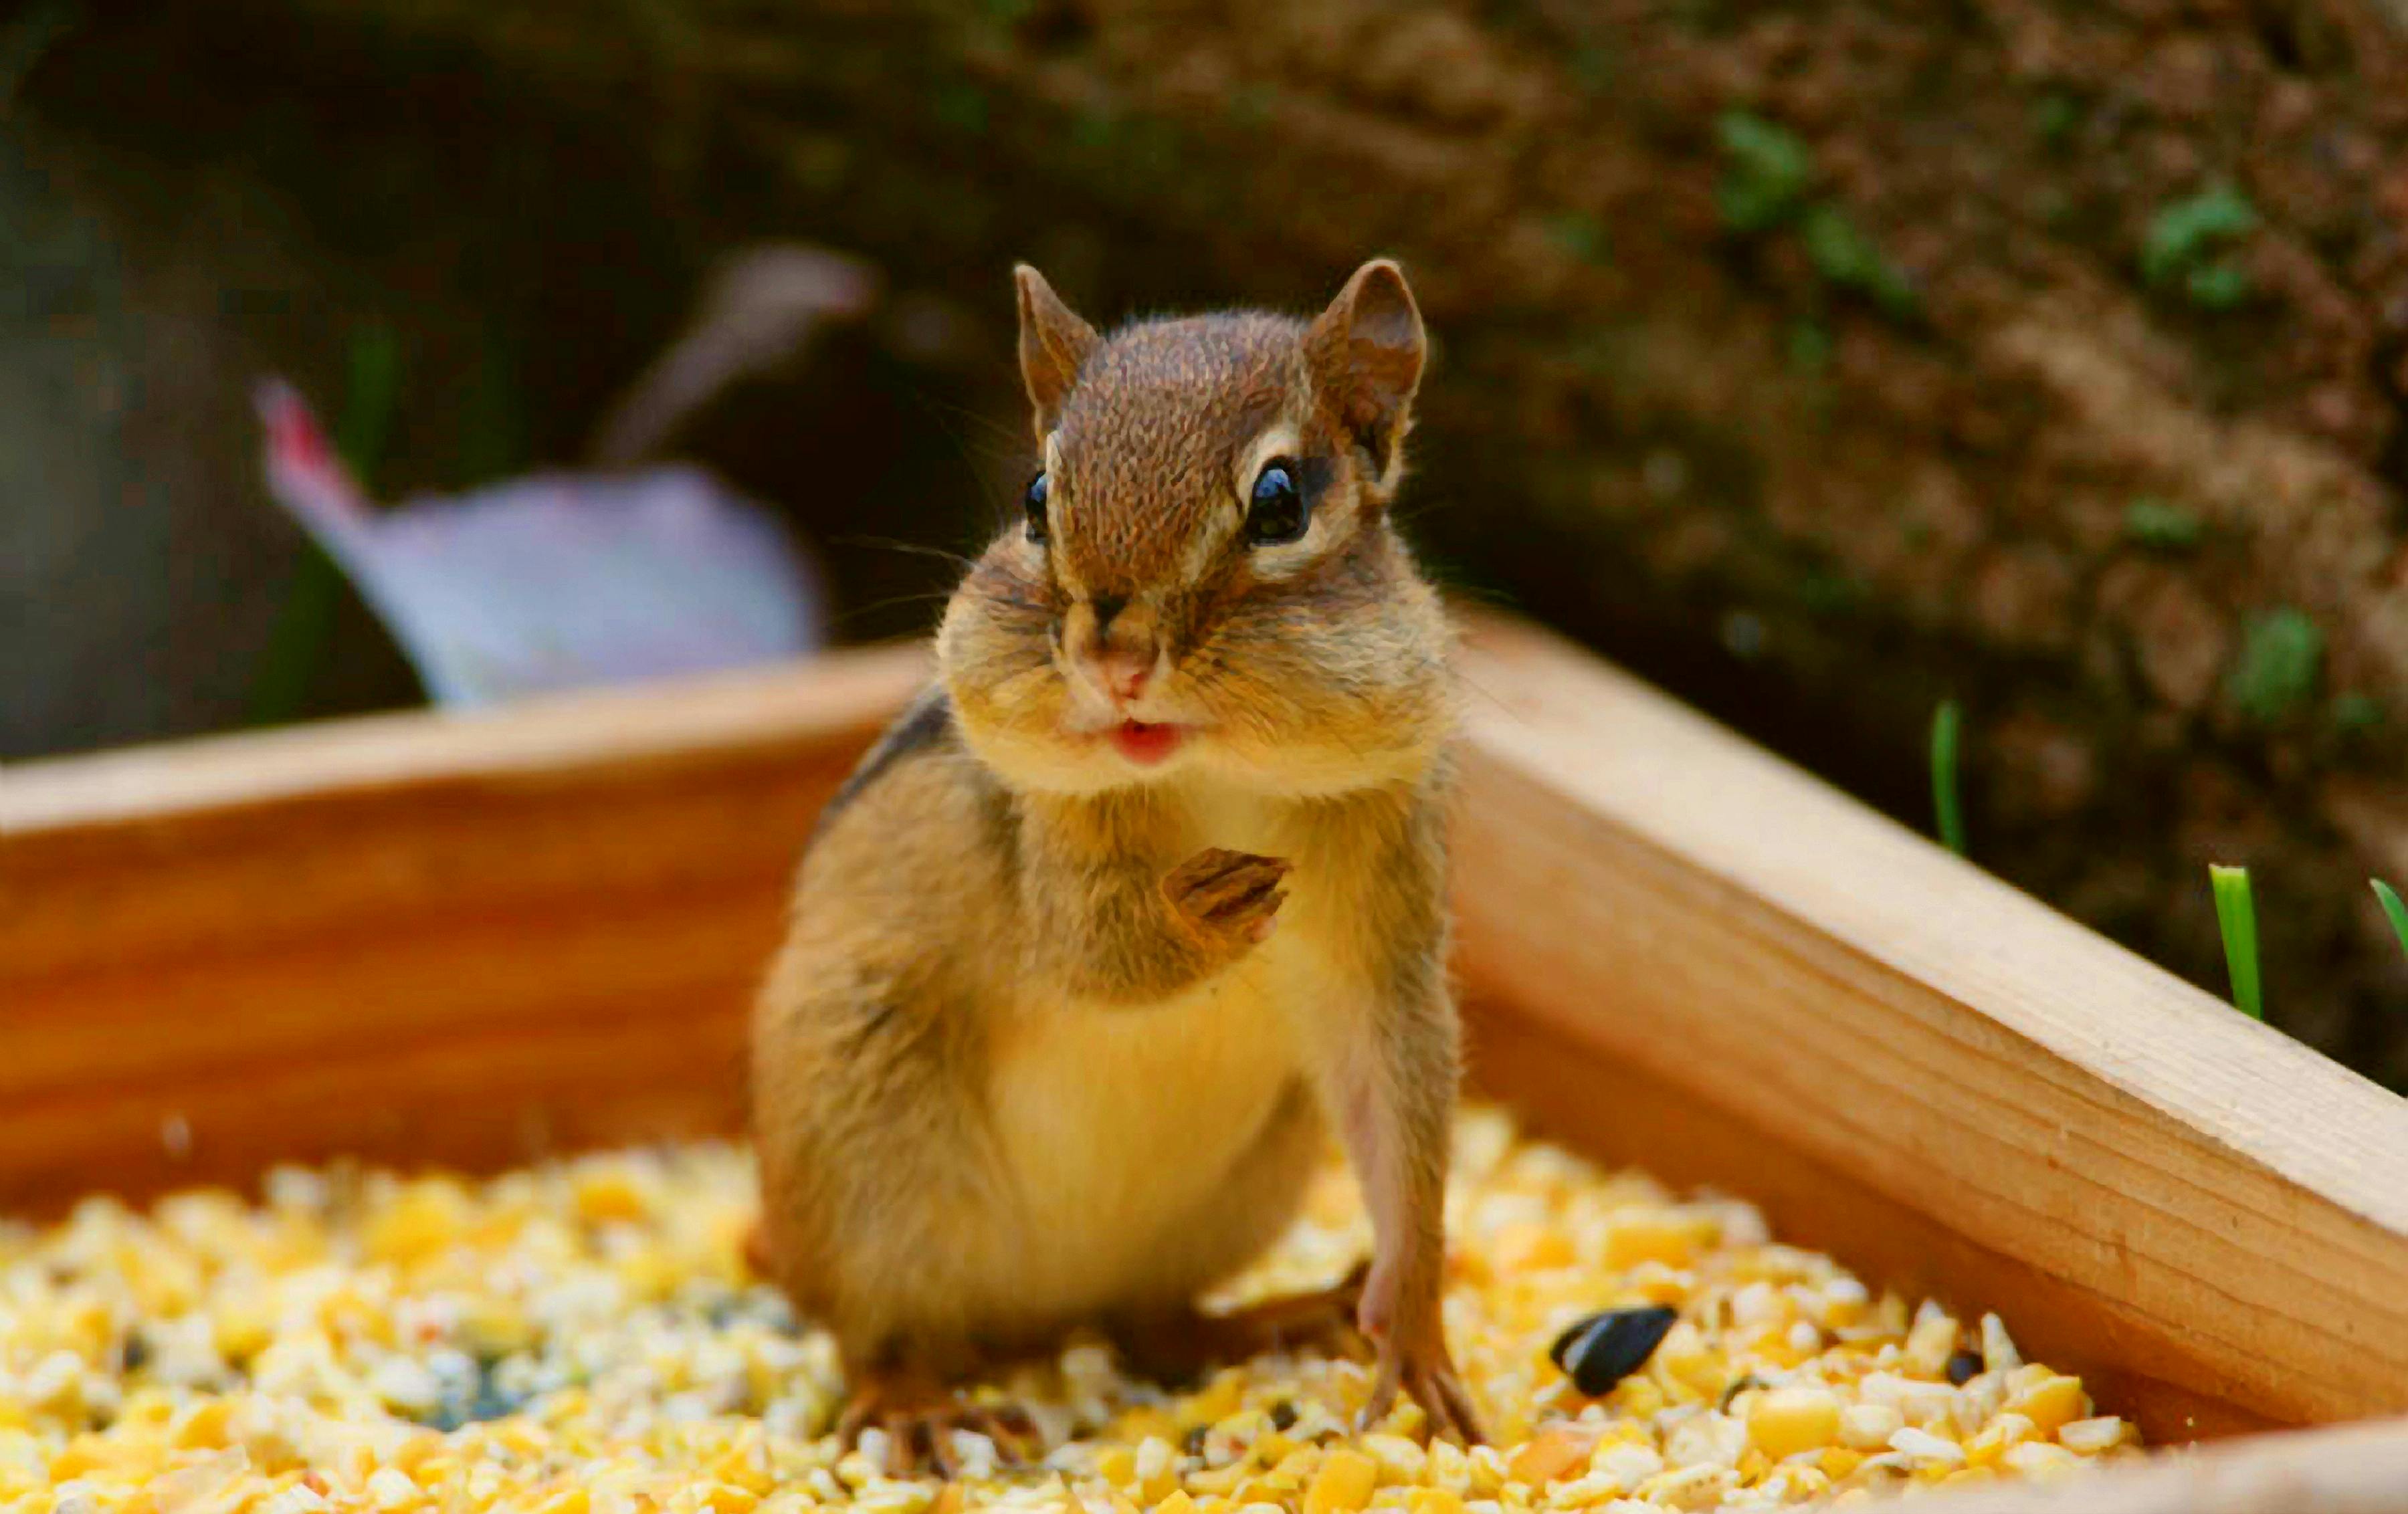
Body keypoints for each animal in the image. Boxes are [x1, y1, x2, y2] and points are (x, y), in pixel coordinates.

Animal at [750, 259, 1478, 1473]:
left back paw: (1280, 1315)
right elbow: (1091, 952)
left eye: (1281, 502)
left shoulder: (1384, 911)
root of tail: (1040, 1312)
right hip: (862, 1126)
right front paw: (1207, 905)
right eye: (1037, 498)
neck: (1215, 773)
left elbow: (1399, 1098)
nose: (1118, 659)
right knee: (873, 1334)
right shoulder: (1048, 835)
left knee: (1154, 1325)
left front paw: (1412, 1325)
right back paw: (915, 1402)